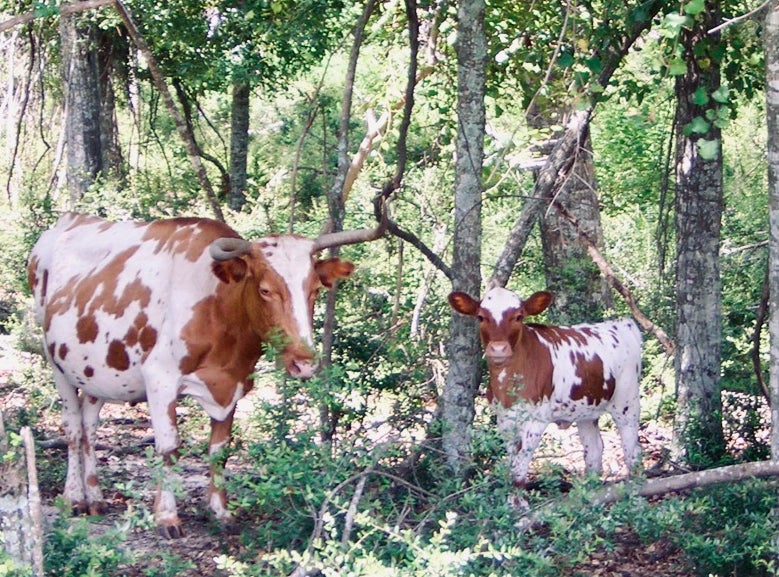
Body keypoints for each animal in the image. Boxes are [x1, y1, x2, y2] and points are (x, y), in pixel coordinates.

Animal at [27, 211, 383, 538]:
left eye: (315, 290)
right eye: (265, 290)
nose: (304, 362)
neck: (218, 308)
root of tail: (69, 219)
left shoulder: (233, 384)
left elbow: (219, 451)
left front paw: (219, 510)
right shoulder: (160, 379)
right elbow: (169, 448)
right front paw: (166, 516)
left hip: (97, 368)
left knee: (89, 423)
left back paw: (95, 496)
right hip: (55, 360)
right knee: (74, 428)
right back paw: (74, 497)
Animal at [448, 286, 642, 491]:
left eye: (518, 316)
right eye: (480, 317)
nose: (498, 349)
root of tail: (623, 323)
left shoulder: (537, 420)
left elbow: (519, 469)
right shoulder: (503, 420)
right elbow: (511, 465)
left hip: (627, 402)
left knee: (632, 449)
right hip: (586, 410)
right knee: (594, 450)